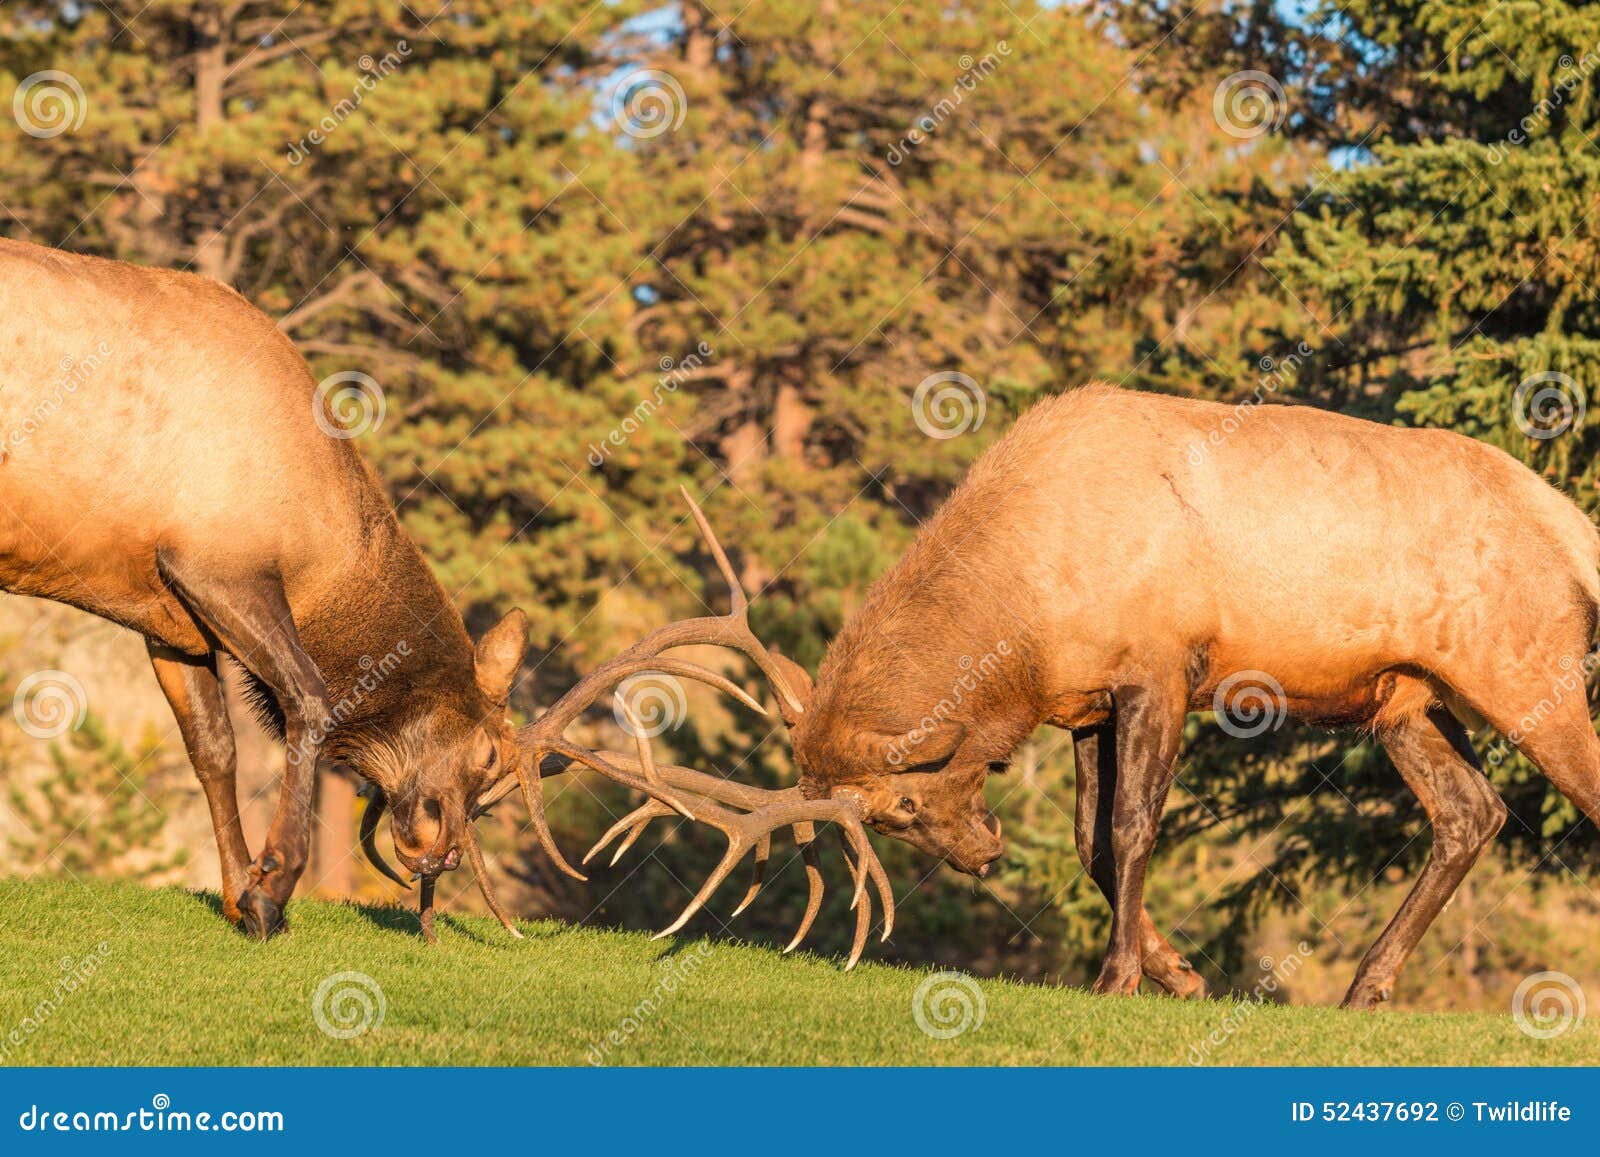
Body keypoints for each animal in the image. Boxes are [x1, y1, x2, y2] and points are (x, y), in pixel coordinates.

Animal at [577, 383, 1600, 1008]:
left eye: (900, 805)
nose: (982, 851)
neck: (1025, 624)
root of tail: (1568, 518)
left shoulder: (1160, 666)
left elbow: (1132, 827)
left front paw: (1117, 977)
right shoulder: (1087, 702)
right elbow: (1088, 844)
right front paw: (1179, 973)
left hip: (1527, 669)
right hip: (1405, 699)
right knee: (1472, 812)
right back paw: (1365, 987)